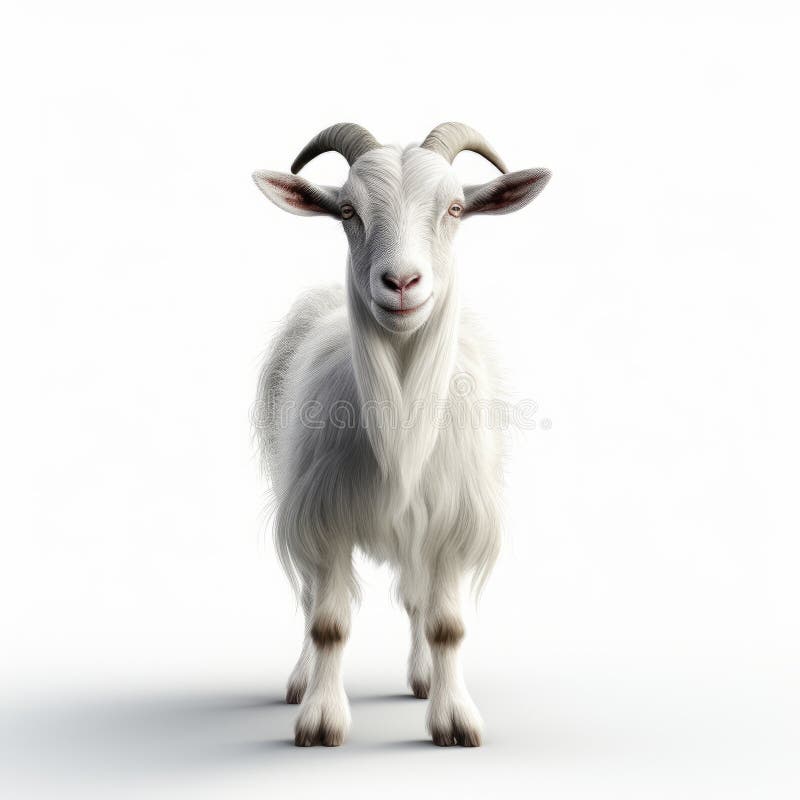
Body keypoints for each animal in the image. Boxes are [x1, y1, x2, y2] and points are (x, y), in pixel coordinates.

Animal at [252, 123, 550, 747]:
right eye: (348, 211)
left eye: (455, 208)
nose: (402, 282)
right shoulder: (321, 517)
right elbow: (327, 622)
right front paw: (320, 720)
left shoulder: (452, 520)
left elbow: (445, 625)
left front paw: (454, 718)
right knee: (309, 597)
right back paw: (301, 680)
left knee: (415, 600)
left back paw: (422, 678)